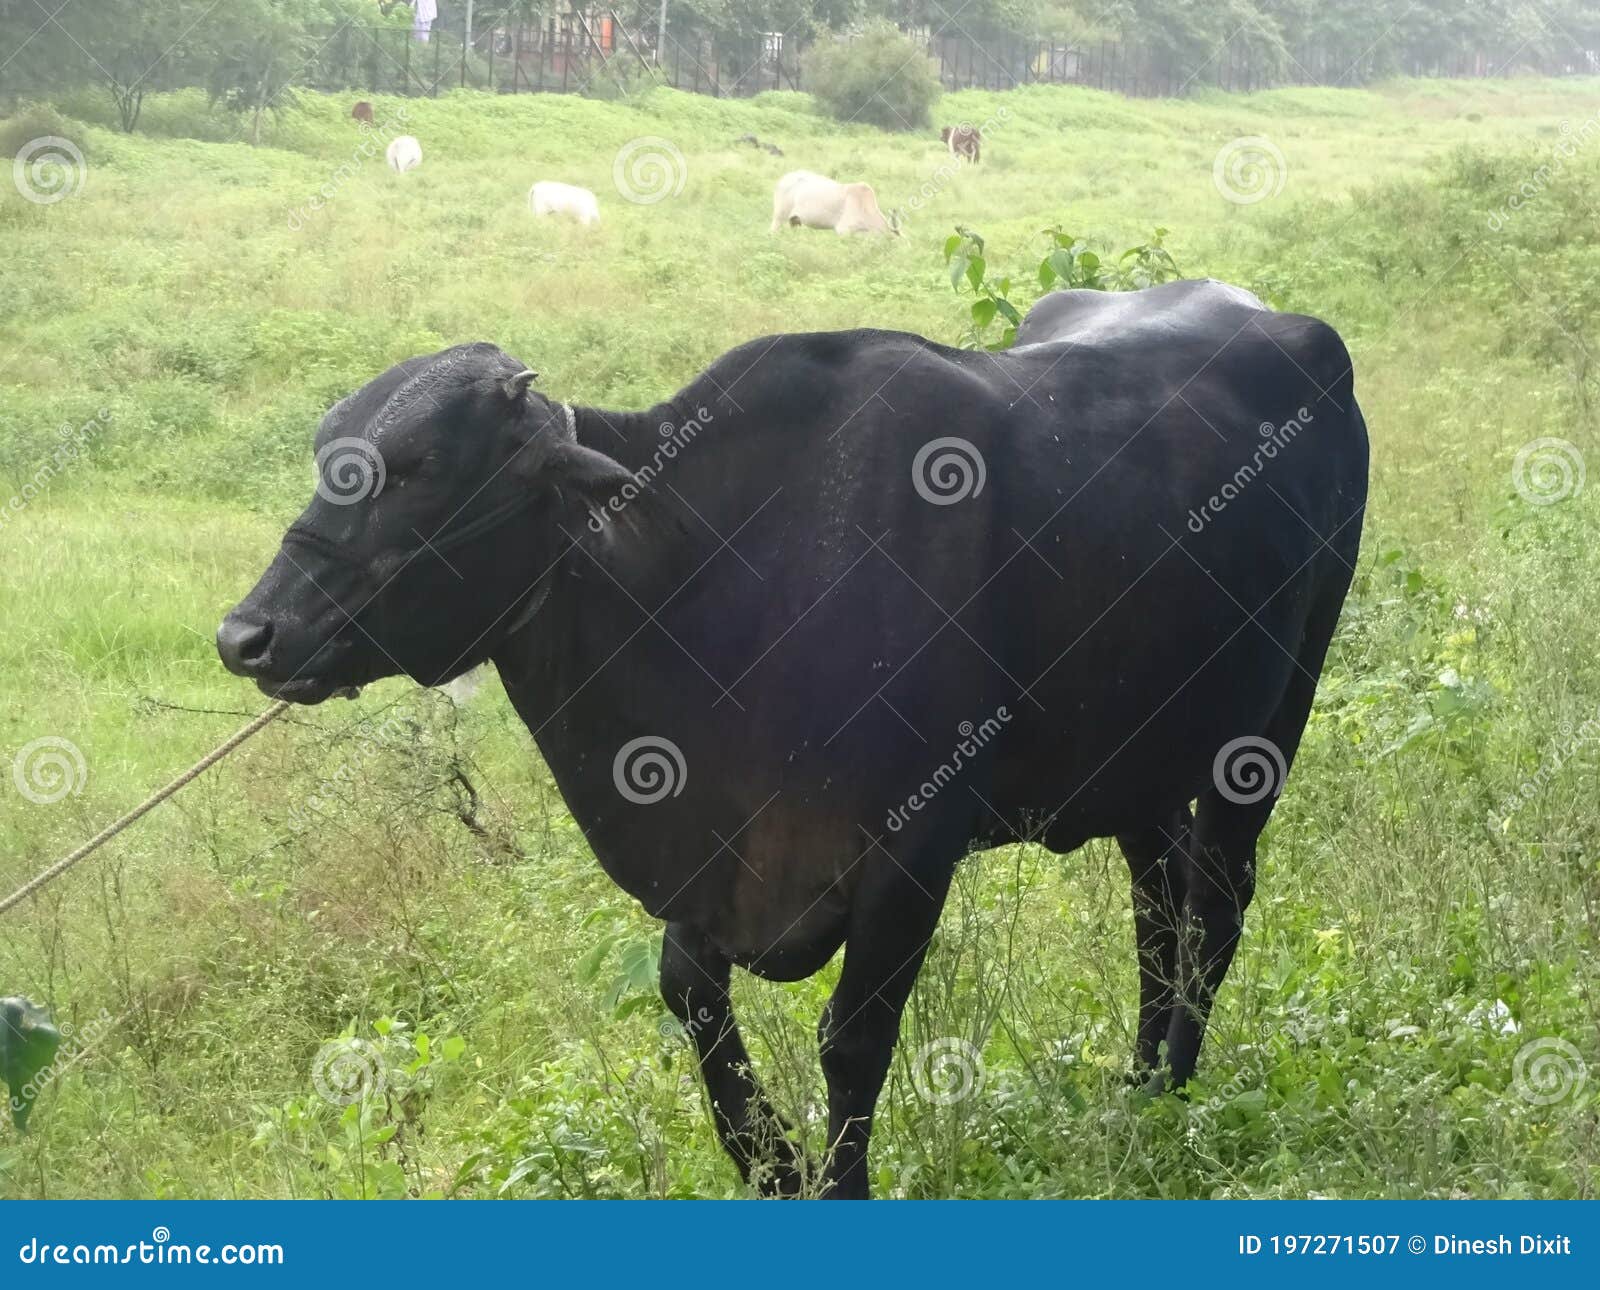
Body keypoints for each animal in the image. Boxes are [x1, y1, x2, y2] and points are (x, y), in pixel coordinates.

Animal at [216, 279, 1368, 1198]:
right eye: (328, 457)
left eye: (418, 466)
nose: (246, 635)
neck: (719, 580)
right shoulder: (712, 868)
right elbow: (690, 1000)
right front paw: (770, 1162)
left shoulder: (912, 850)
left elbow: (851, 1043)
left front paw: (834, 1186)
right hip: (1142, 762)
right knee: (1155, 911)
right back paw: (1137, 1086)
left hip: (1267, 726)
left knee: (1213, 908)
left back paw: (1172, 1089)